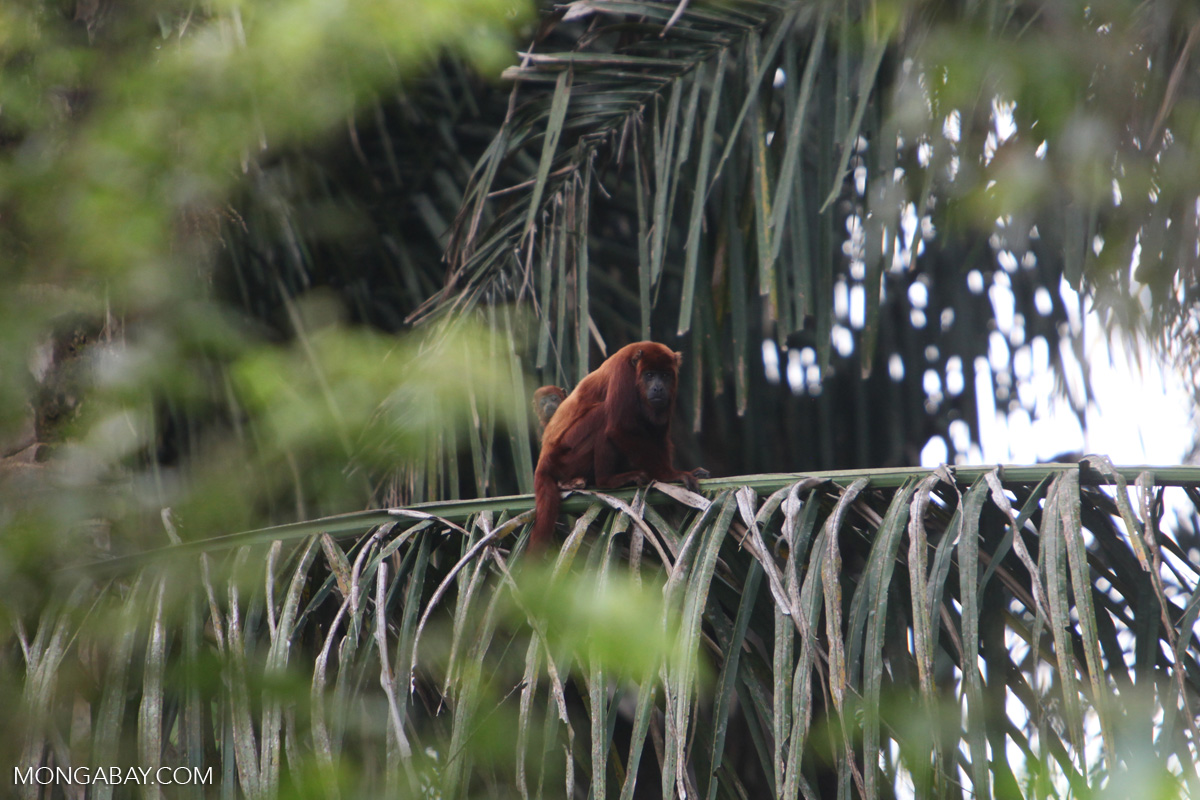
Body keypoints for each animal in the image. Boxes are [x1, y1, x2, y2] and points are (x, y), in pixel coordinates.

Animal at [530, 341, 708, 548]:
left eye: (664, 375)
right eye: (649, 375)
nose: (658, 388)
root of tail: (544, 459)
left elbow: (659, 433)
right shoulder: (622, 373)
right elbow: (618, 427)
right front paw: (670, 475)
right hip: (567, 457)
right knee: (604, 415)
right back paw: (607, 480)